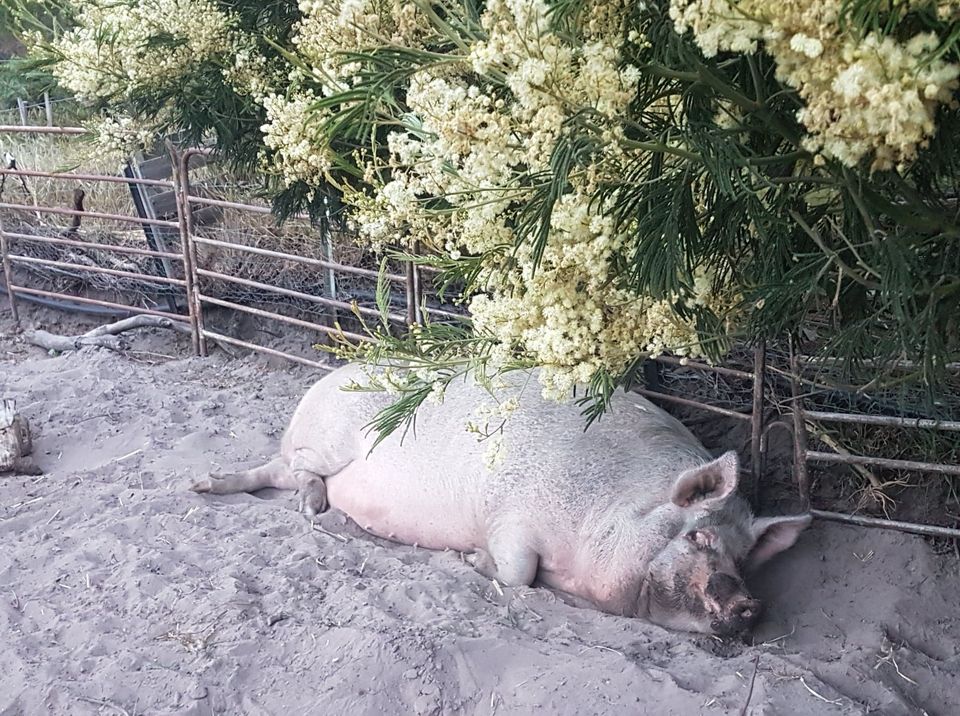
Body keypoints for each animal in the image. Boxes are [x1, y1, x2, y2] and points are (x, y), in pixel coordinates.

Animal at [191, 364, 811, 636]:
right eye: (698, 534)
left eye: (744, 557)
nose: (749, 605)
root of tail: (312, 392)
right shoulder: (512, 517)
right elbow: (517, 573)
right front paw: (469, 559)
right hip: (330, 440)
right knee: (299, 470)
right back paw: (311, 509)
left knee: (272, 471)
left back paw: (204, 486)